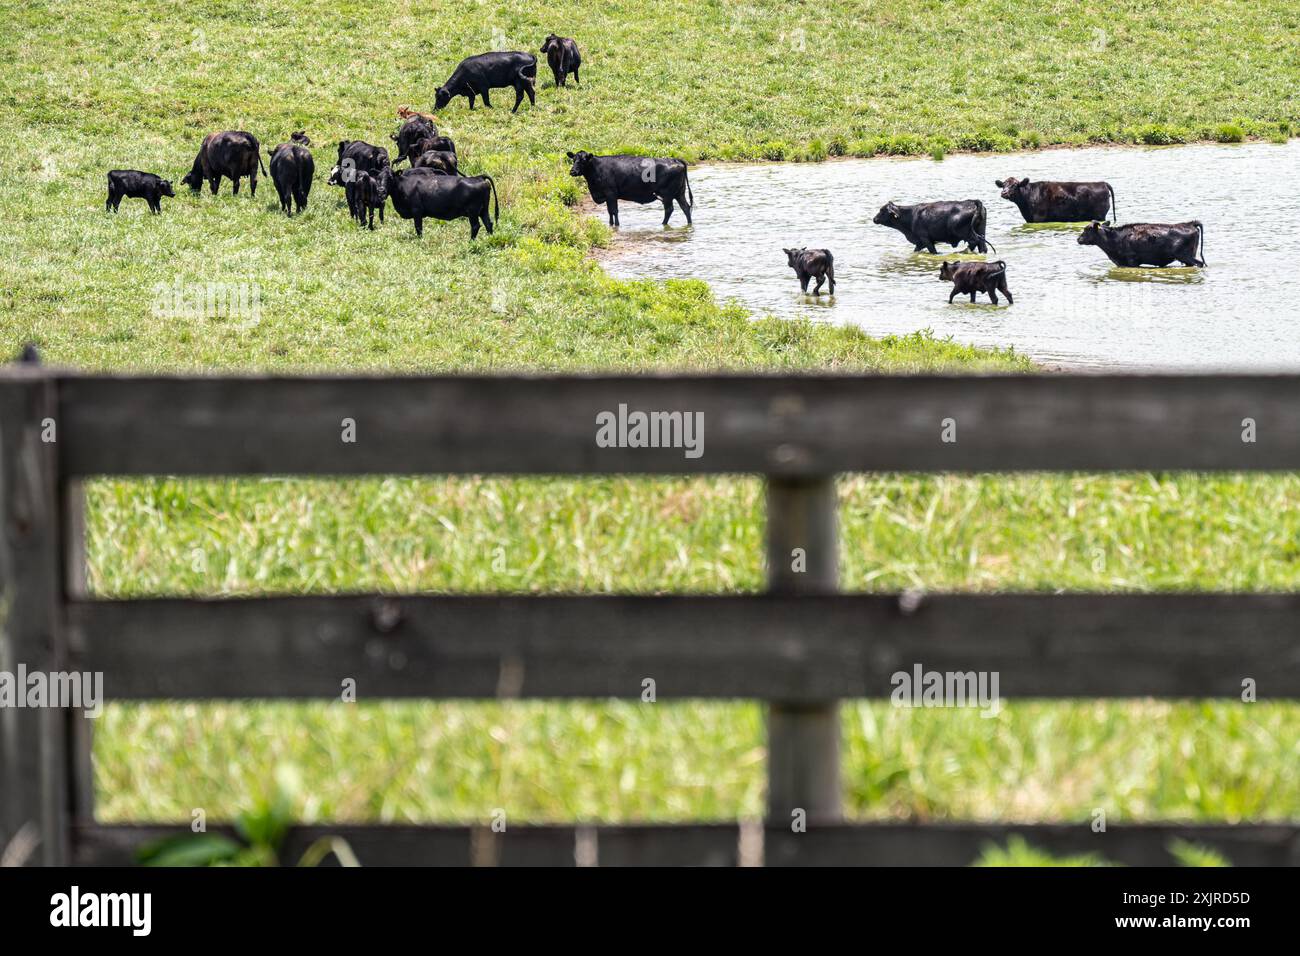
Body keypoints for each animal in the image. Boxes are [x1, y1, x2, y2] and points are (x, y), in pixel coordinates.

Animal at [1077, 221, 1205, 267]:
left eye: (1087, 229)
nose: (1078, 239)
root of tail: (1189, 223)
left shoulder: (1132, 260)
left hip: (1184, 256)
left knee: (1200, 263)